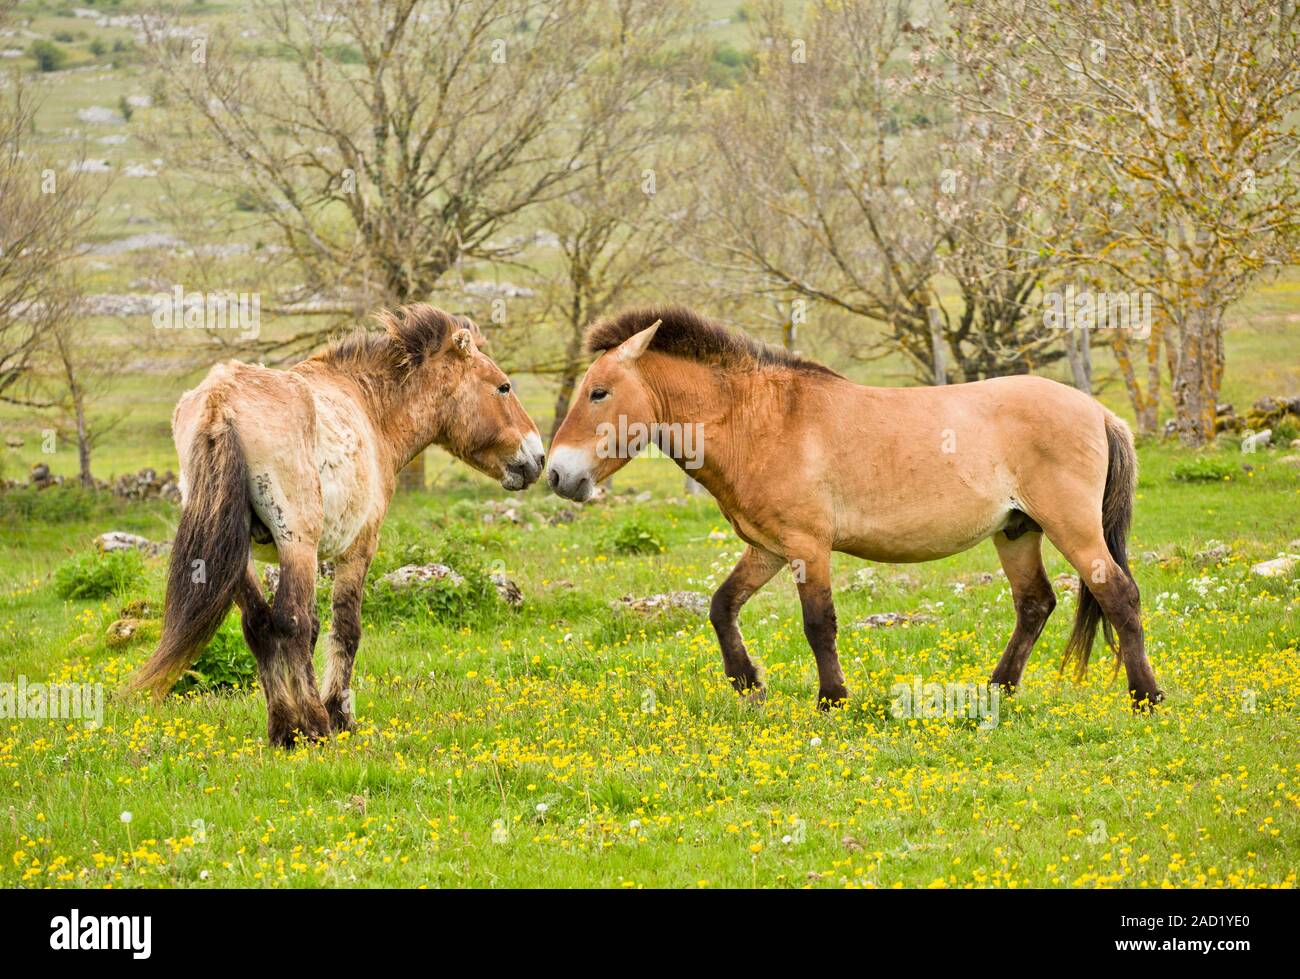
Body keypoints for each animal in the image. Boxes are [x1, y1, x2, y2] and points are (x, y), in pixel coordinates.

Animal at [126, 304, 545, 747]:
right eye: (503, 387)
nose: (537, 457)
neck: (369, 407)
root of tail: (220, 402)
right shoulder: (358, 547)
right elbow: (344, 628)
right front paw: (339, 715)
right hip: (297, 543)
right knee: (290, 623)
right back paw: (313, 724)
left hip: (240, 558)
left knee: (258, 625)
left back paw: (282, 727)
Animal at [546, 306, 1163, 711]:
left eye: (599, 392)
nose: (557, 473)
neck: (762, 419)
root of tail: (1099, 412)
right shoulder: (768, 549)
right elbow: (722, 607)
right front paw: (748, 683)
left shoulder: (807, 548)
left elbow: (819, 625)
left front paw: (832, 699)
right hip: (1017, 531)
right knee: (1035, 604)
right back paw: (998, 689)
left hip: (1070, 526)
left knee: (1118, 595)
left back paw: (1146, 696)